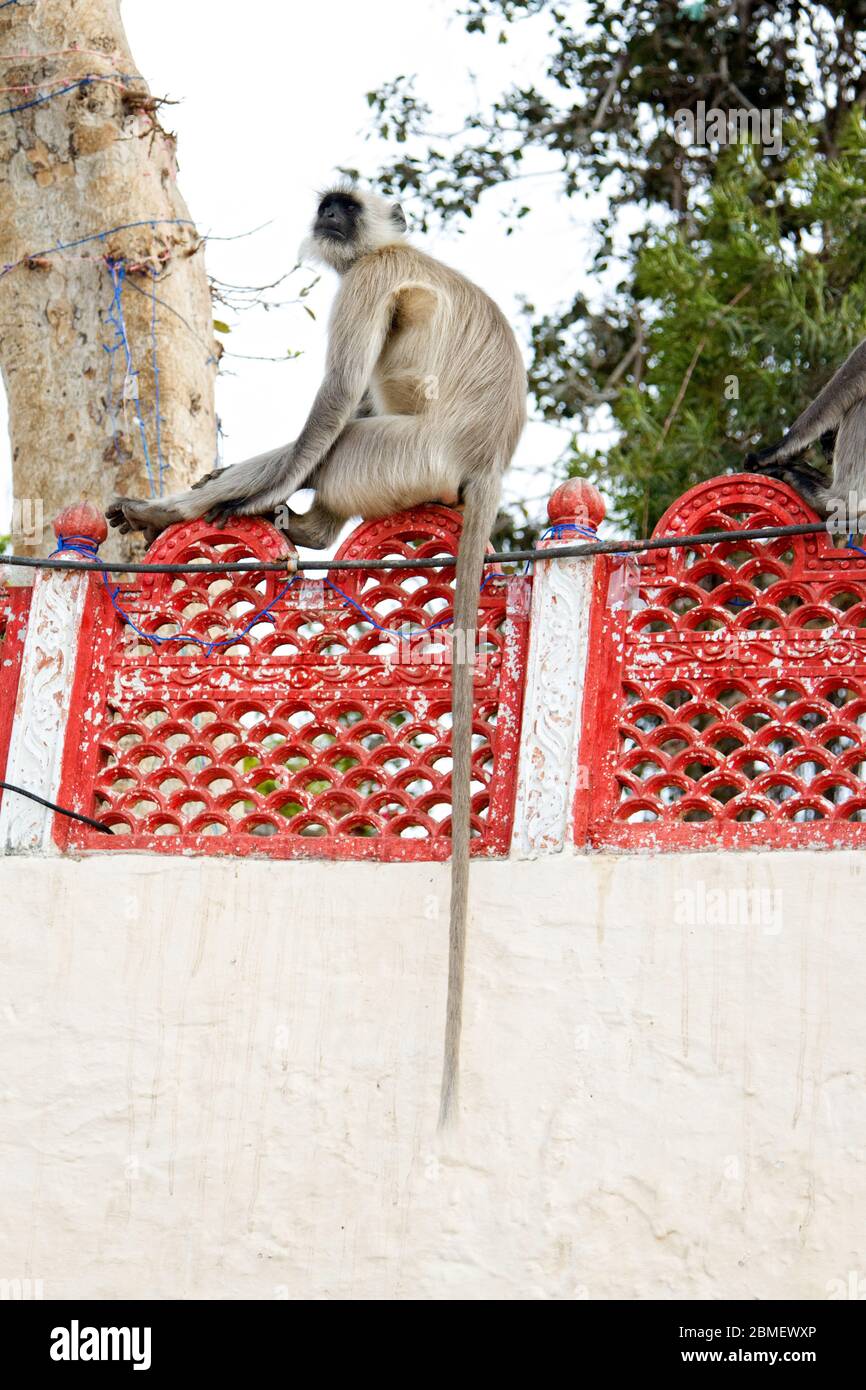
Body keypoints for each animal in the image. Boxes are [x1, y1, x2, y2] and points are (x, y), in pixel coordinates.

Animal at [107, 184, 527, 1128]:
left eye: (347, 209)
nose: (332, 220)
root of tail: (486, 462)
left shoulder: (366, 281)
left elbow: (334, 402)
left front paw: (238, 500)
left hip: (404, 459)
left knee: (339, 441)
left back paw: (220, 513)